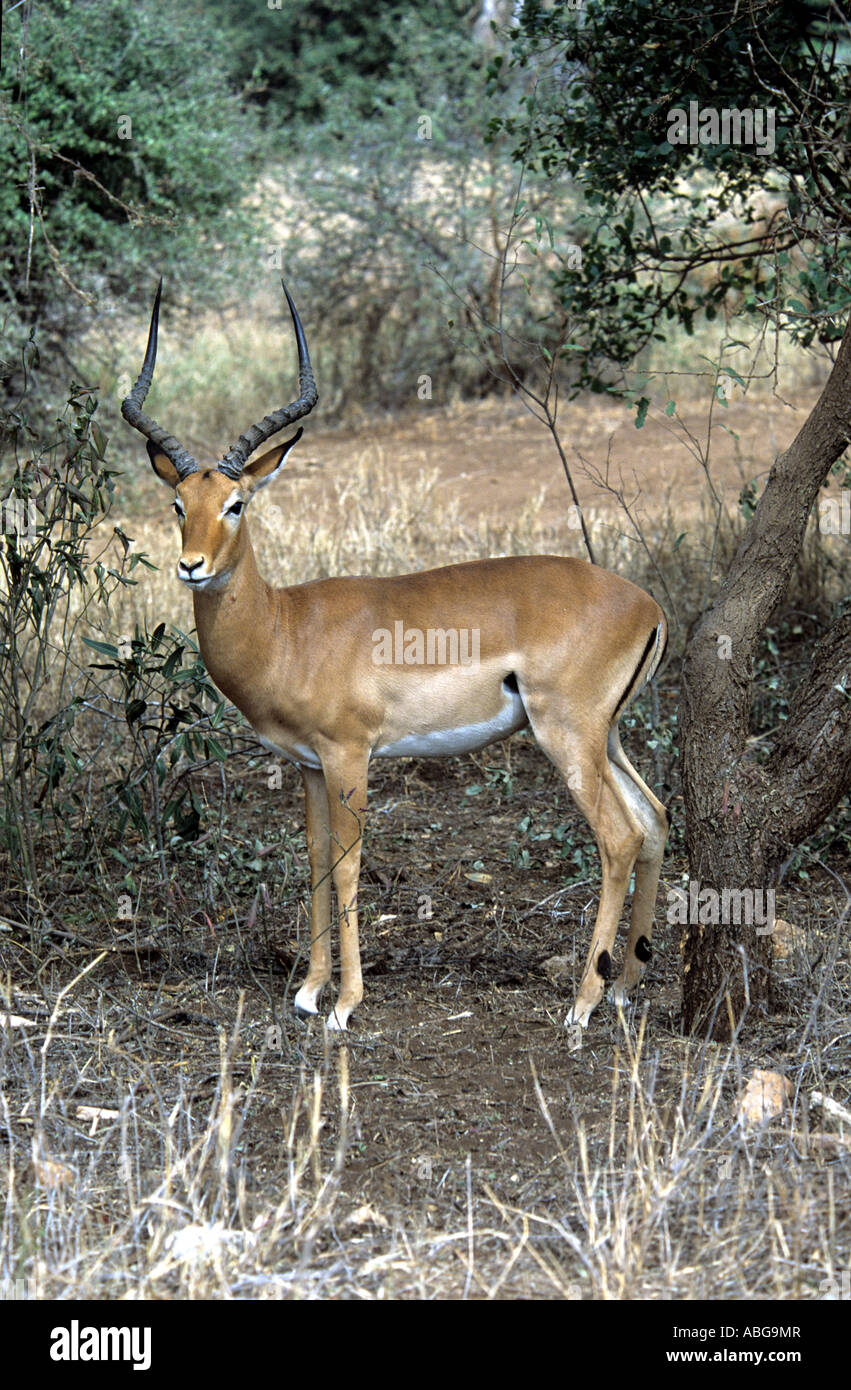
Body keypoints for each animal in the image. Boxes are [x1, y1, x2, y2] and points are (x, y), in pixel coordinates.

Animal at [122, 280, 669, 1032]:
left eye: (236, 503)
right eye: (178, 503)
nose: (191, 567)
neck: (288, 629)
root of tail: (649, 605)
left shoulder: (351, 756)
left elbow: (350, 865)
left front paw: (345, 1005)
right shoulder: (309, 766)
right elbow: (316, 861)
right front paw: (307, 991)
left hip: (567, 735)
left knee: (618, 837)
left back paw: (583, 1005)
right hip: (605, 735)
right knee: (654, 821)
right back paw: (622, 988)